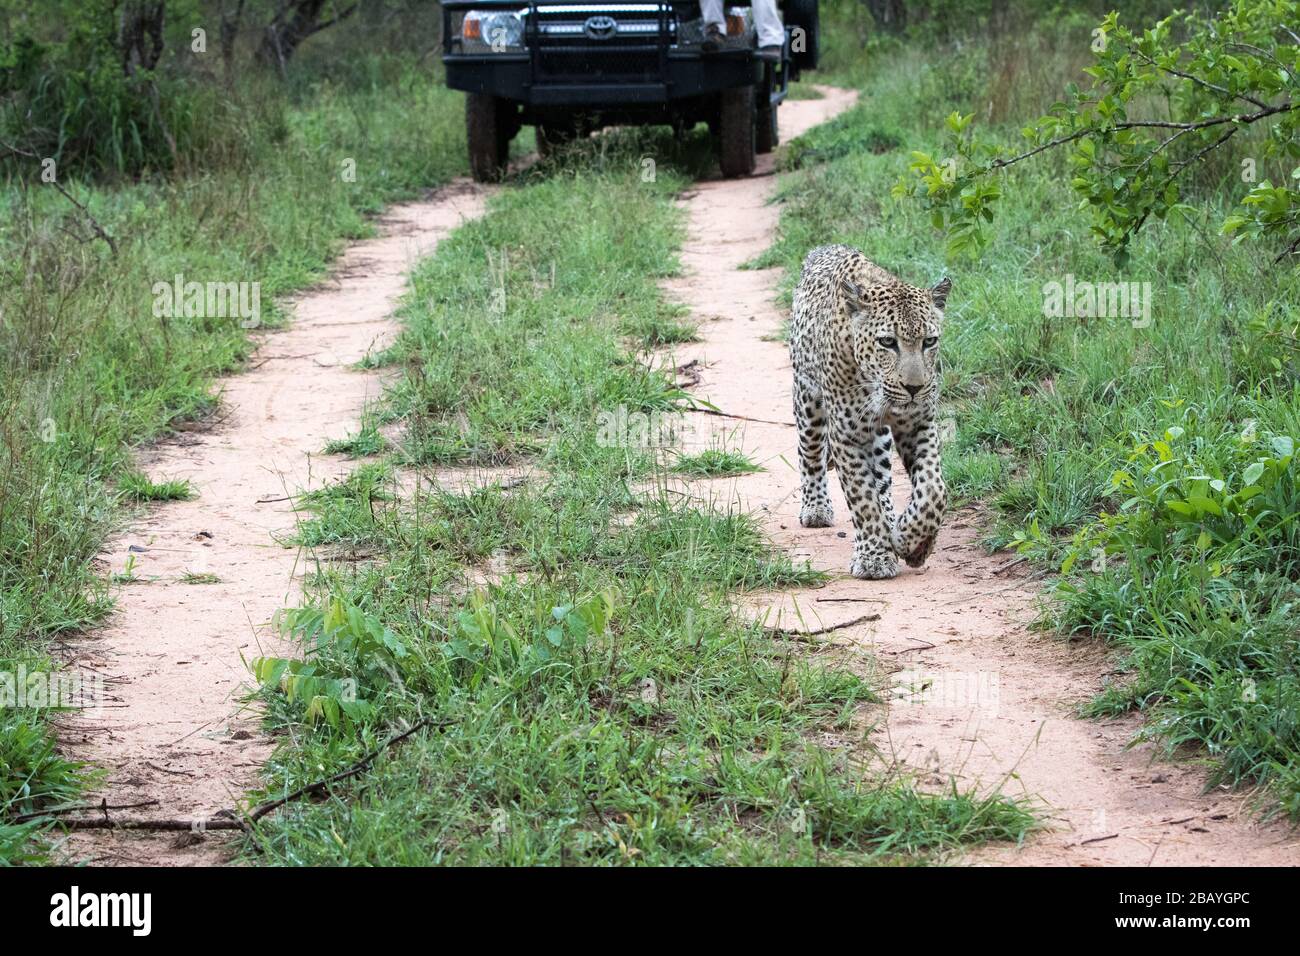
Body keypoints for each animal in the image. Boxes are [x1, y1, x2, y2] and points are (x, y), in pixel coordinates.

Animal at [788, 244, 951, 580]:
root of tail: (825, 247)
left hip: (879, 435)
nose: (914, 387)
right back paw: (816, 508)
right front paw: (875, 558)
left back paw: (891, 519)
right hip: (808, 401)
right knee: (809, 453)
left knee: (883, 479)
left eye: (929, 341)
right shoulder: (846, 435)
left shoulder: (919, 424)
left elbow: (933, 489)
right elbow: (862, 499)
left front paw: (912, 542)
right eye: (887, 342)